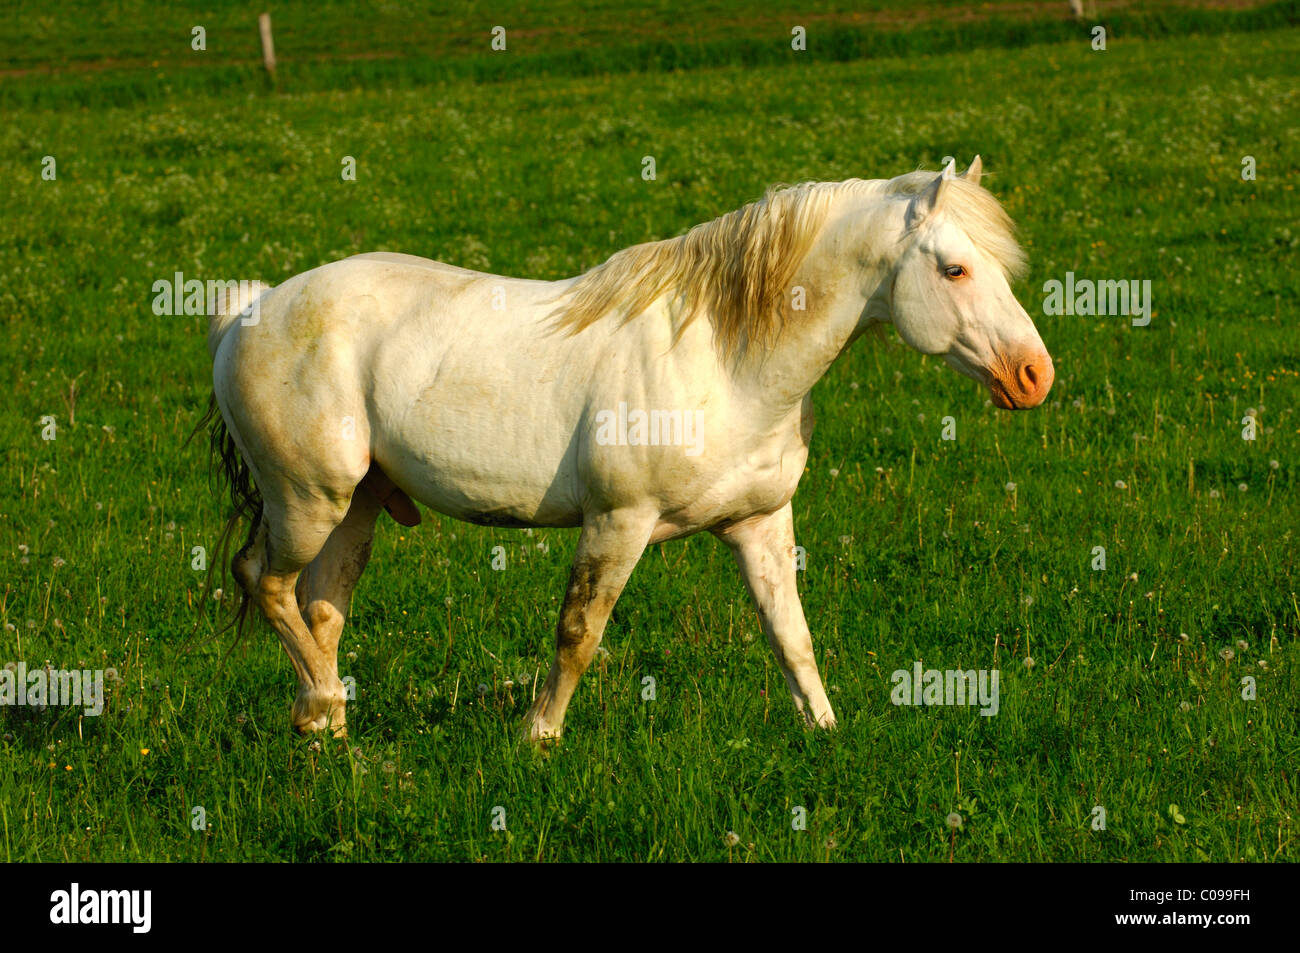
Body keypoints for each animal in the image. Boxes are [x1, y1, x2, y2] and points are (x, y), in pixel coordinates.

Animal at [201, 156, 1053, 742]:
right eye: (955, 268)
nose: (1034, 374)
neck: (726, 359)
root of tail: (251, 310)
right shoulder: (619, 521)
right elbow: (580, 632)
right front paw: (537, 738)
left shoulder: (761, 523)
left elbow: (792, 635)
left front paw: (825, 729)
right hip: (308, 500)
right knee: (263, 580)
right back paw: (320, 707)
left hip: (358, 507)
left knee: (320, 607)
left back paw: (330, 729)